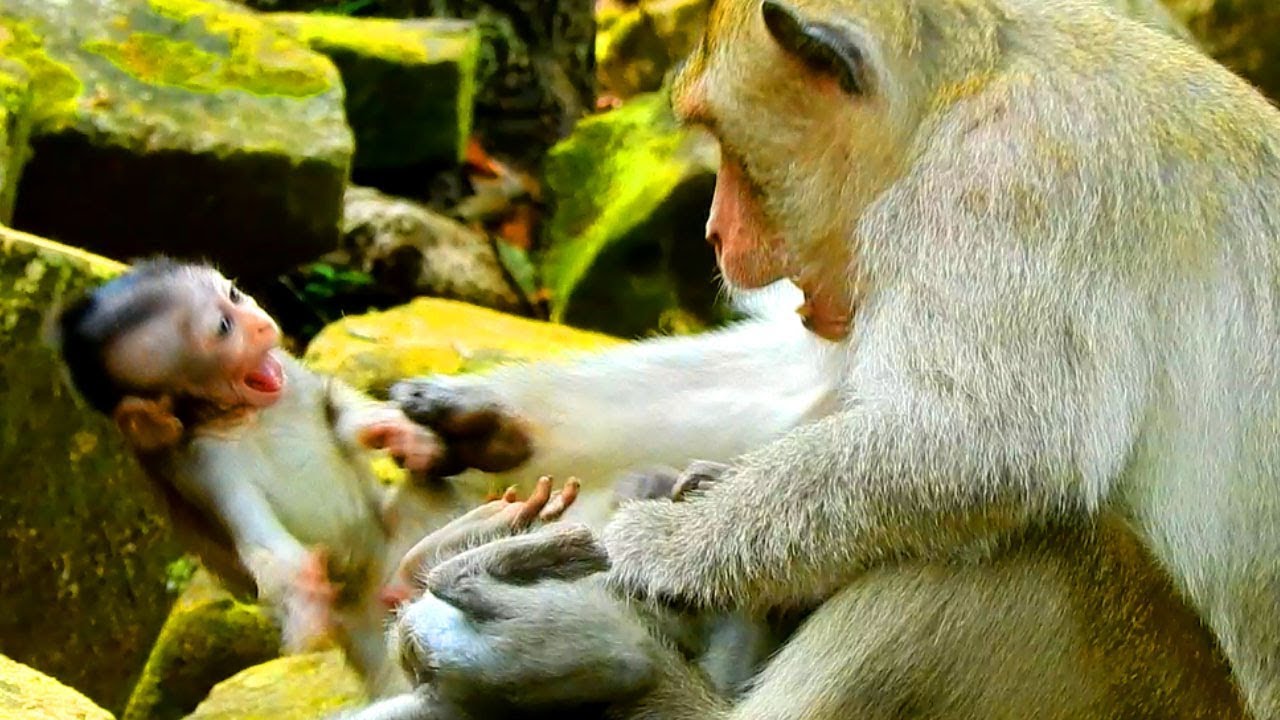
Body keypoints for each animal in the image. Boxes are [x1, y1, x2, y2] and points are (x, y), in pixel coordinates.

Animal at [389, 0, 1280, 716]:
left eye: (731, 149)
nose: (713, 233)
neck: (956, 97)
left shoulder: (1004, 183)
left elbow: (989, 442)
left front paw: (659, 542)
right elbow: (806, 387)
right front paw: (490, 417)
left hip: (1158, 687)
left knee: (1030, 544)